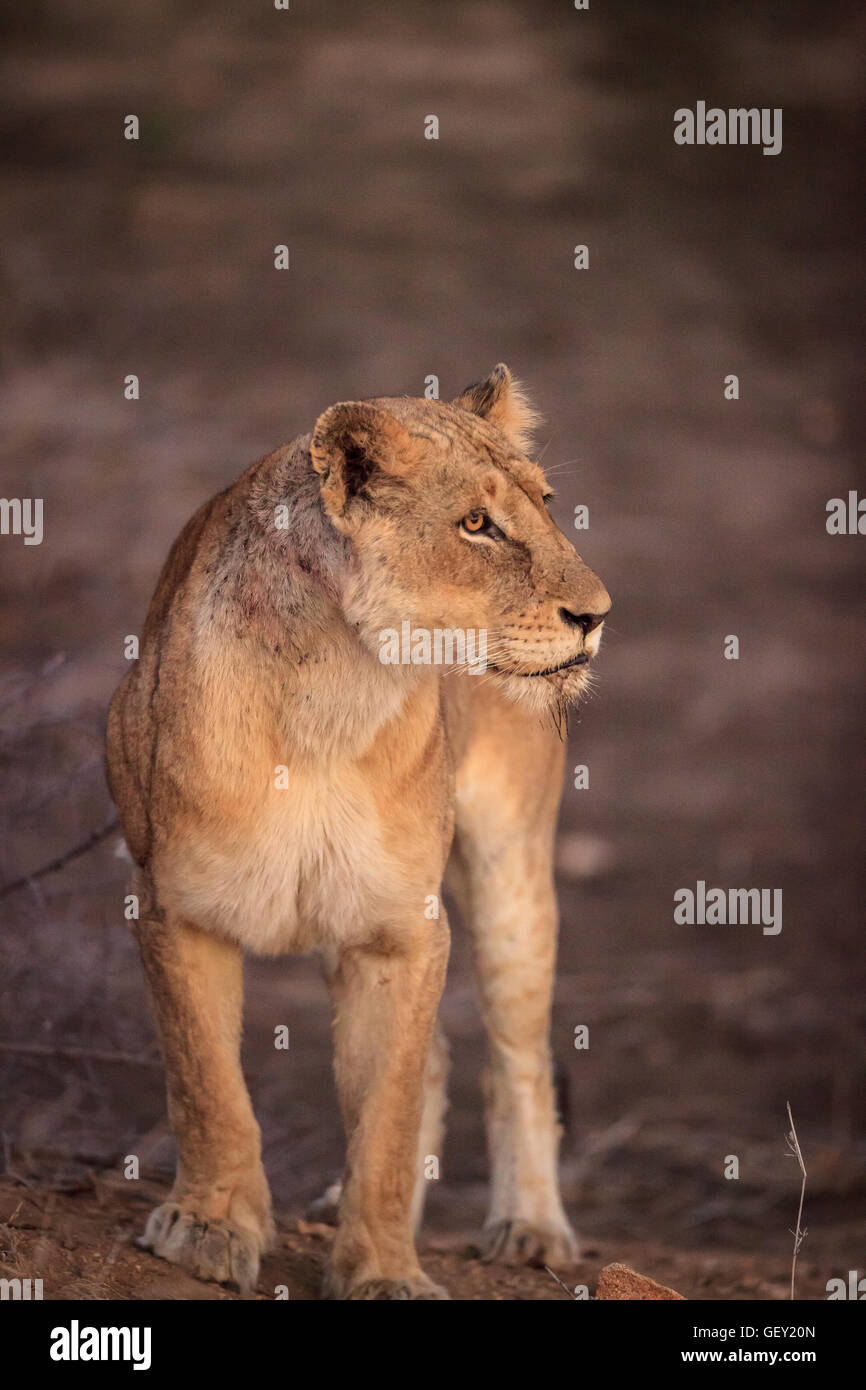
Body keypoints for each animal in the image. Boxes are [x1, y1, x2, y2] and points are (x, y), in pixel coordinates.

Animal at [106, 364, 611, 1300]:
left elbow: (388, 1114)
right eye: (477, 525)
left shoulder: (401, 930)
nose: (596, 616)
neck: (333, 697)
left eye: (548, 503)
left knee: (514, 1060)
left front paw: (383, 1271)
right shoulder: (173, 906)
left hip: (509, 869)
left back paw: (530, 1228)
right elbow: (207, 1085)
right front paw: (209, 1228)